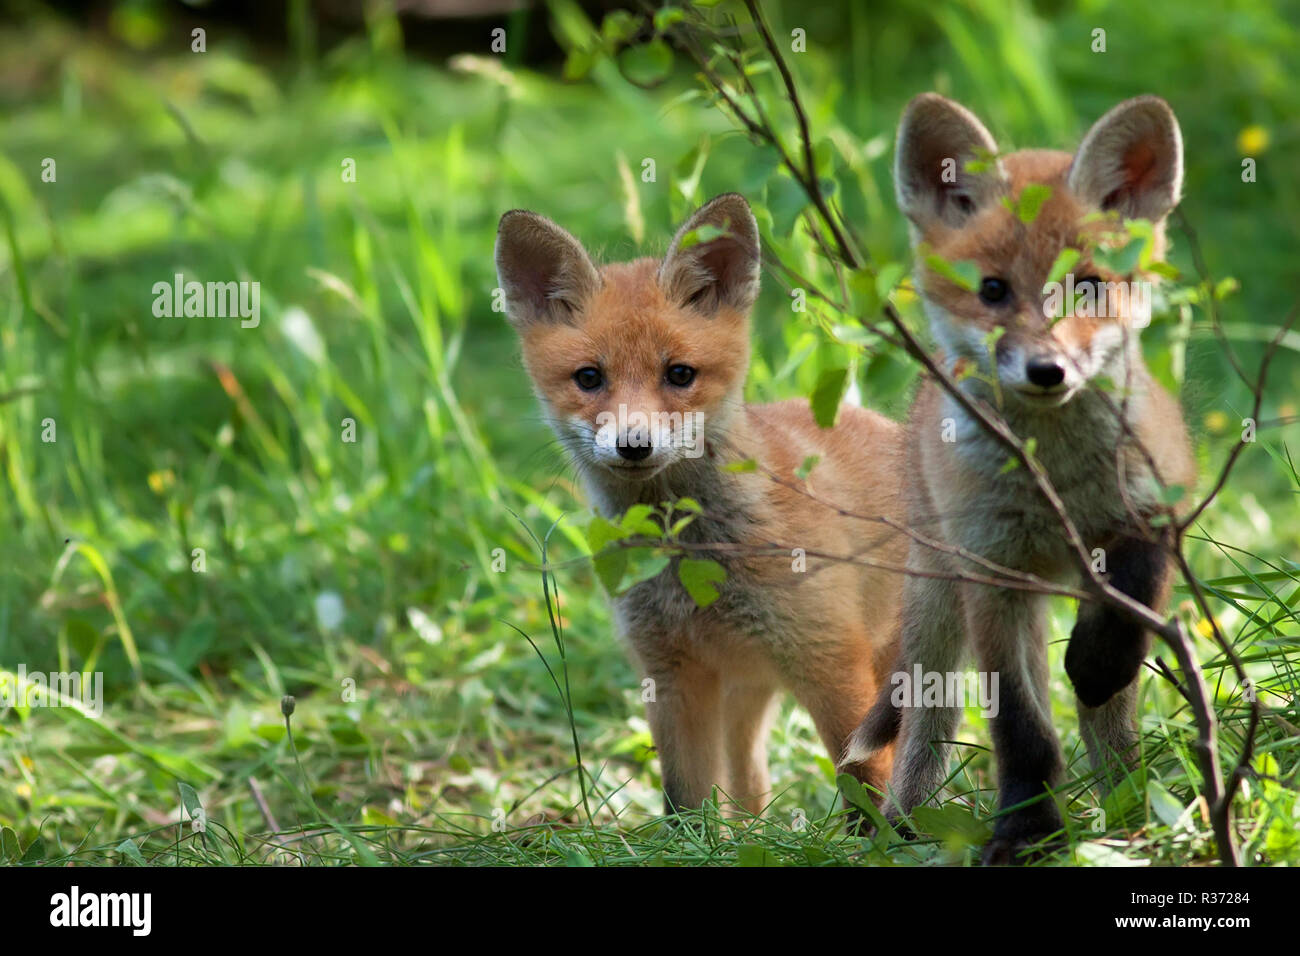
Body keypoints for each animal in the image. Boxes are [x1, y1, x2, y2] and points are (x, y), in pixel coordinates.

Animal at [495, 193, 907, 818]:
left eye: (679, 374)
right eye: (589, 378)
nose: (634, 444)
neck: (690, 562)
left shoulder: (829, 660)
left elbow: (866, 782)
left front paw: (887, 837)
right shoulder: (671, 676)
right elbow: (685, 800)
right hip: (747, 691)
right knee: (749, 783)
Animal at [844, 94, 1197, 863]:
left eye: (1089, 285)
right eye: (993, 291)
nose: (1048, 370)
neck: (1053, 478)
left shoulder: (1153, 508)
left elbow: (1127, 613)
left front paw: (1095, 661)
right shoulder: (992, 569)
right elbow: (1020, 728)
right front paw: (1026, 832)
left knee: (1109, 729)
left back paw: (1130, 816)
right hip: (939, 604)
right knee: (930, 722)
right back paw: (904, 826)